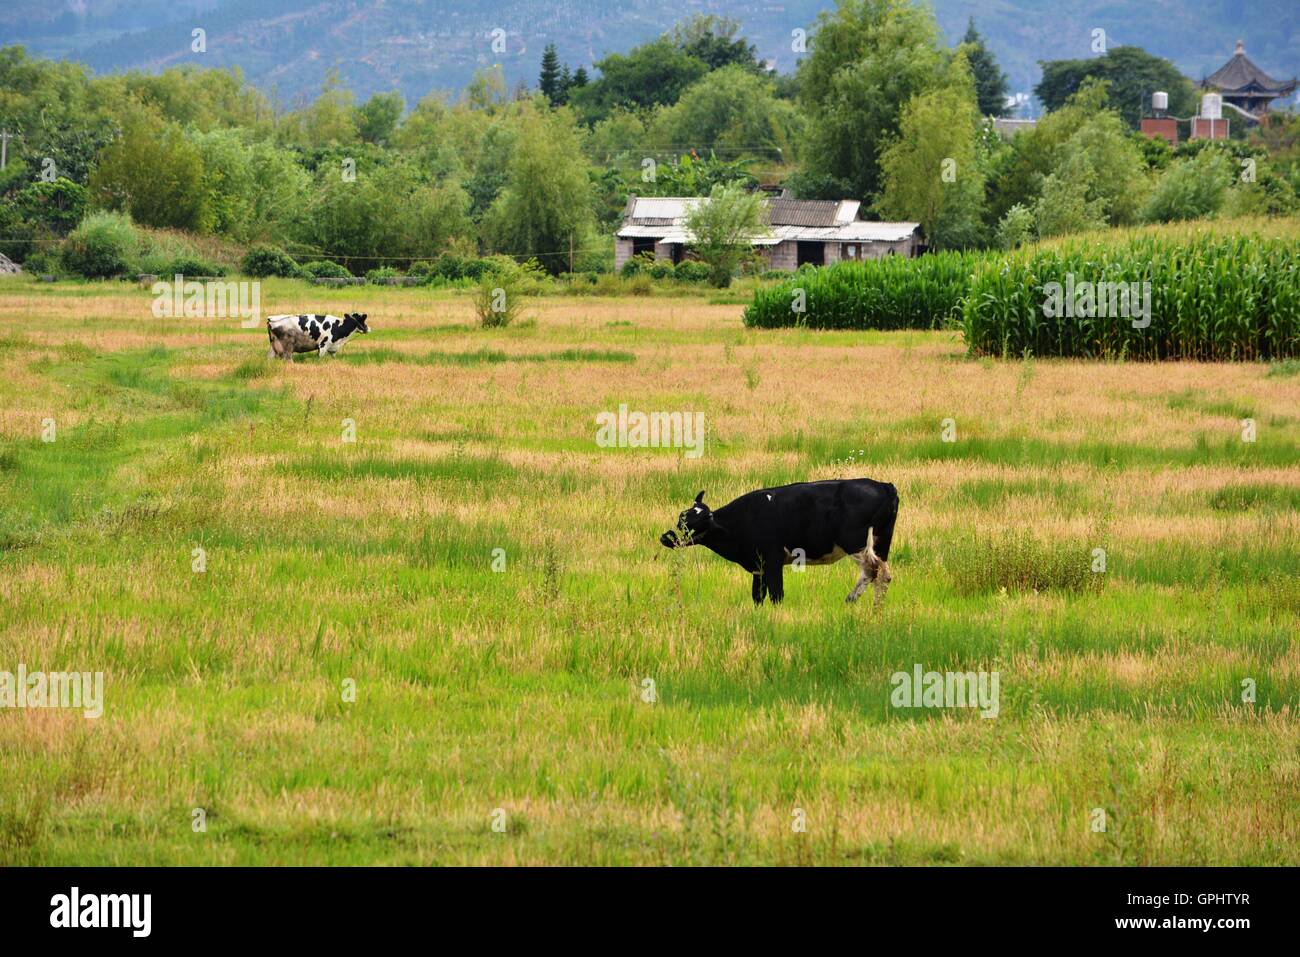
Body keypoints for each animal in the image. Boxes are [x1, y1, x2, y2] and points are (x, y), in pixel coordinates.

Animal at [660, 479, 899, 606]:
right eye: (681, 518)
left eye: (700, 523)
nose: (666, 537)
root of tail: (882, 485)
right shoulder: (759, 565)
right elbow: (757, 596)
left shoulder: (773, 560)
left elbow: (776, 594)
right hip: (880, 543)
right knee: (882, 575)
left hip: (856, 544)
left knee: (874, 572)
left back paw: (855, 602)